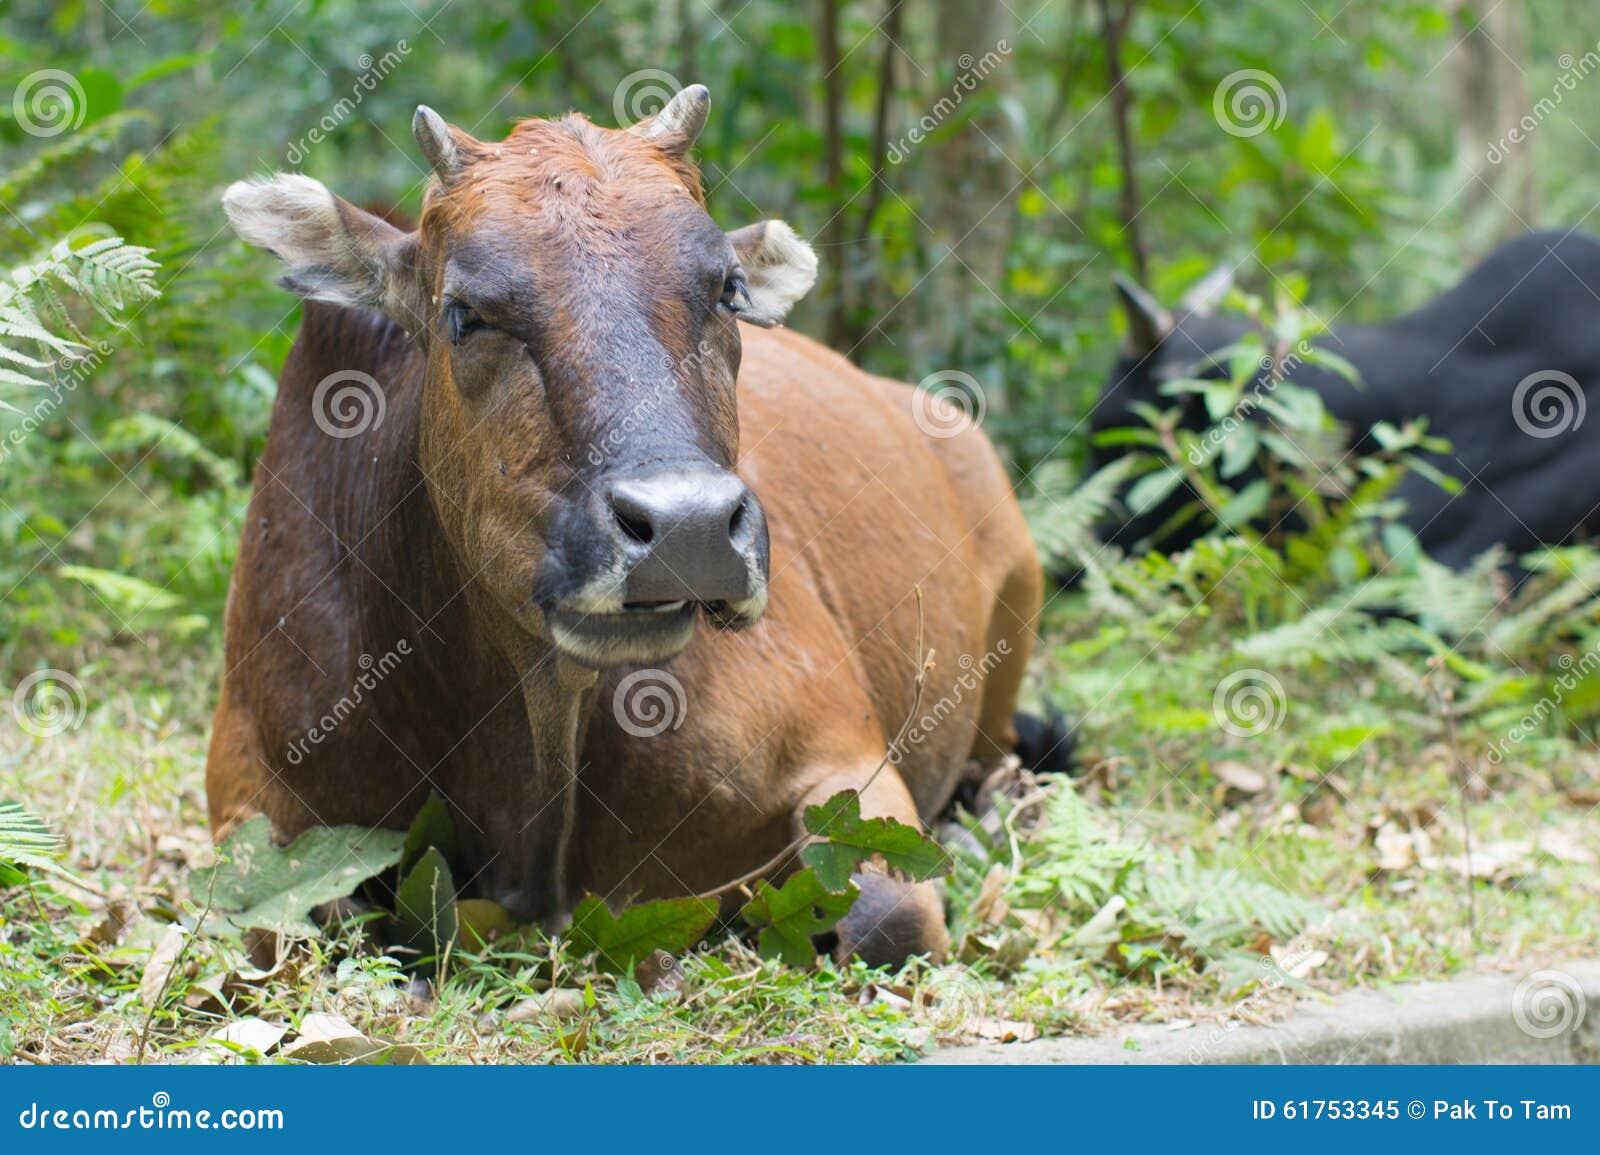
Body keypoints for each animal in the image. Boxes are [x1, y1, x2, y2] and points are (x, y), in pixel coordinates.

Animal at [206, 86, 1049, 967]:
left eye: (727, 290)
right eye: (466, 314)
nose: (689, 530)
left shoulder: (843, 759)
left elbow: (894, 917)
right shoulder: (250, 801)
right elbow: (282, 925)